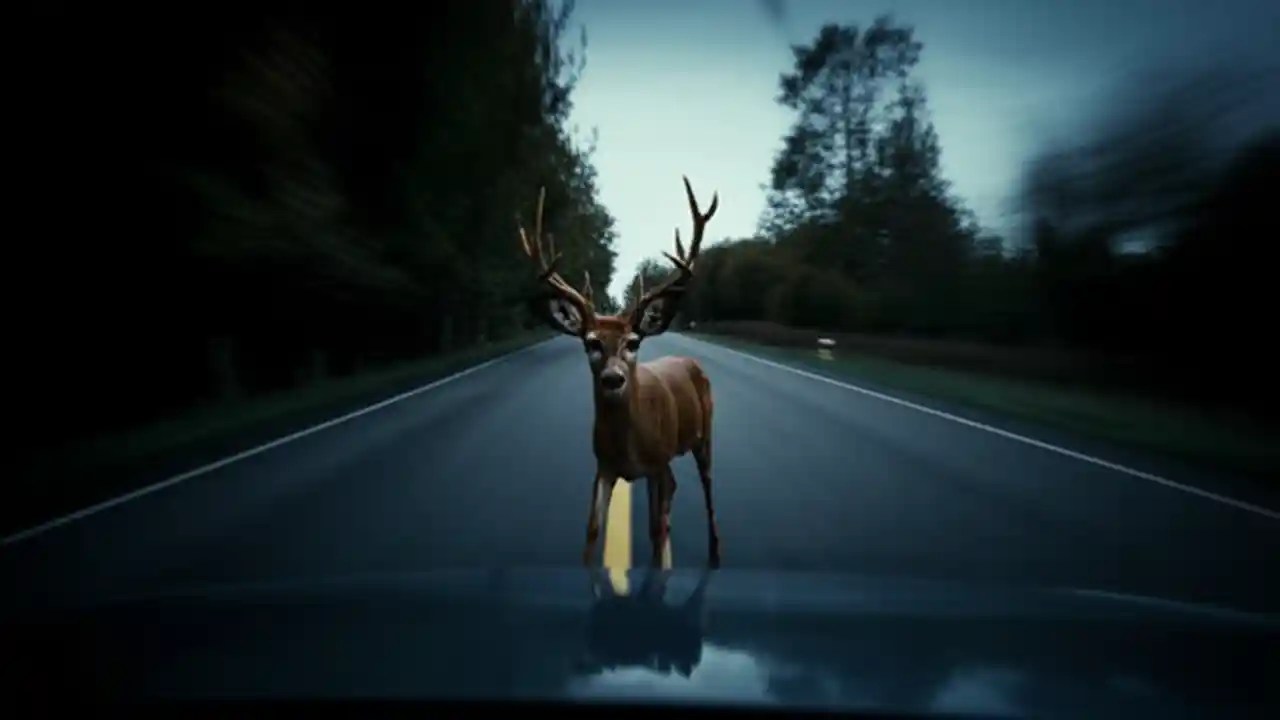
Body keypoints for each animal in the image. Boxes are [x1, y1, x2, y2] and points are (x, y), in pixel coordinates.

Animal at [517, 176, 721, 568]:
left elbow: (655, 527)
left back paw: (715, 555)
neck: (629, 448)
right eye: (591, 342)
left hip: (704, 435)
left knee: (706, 489)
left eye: (633, 342)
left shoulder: (657, 461)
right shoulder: (604, 466)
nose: (613, 378)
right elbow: (592, 530)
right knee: (673, 494)